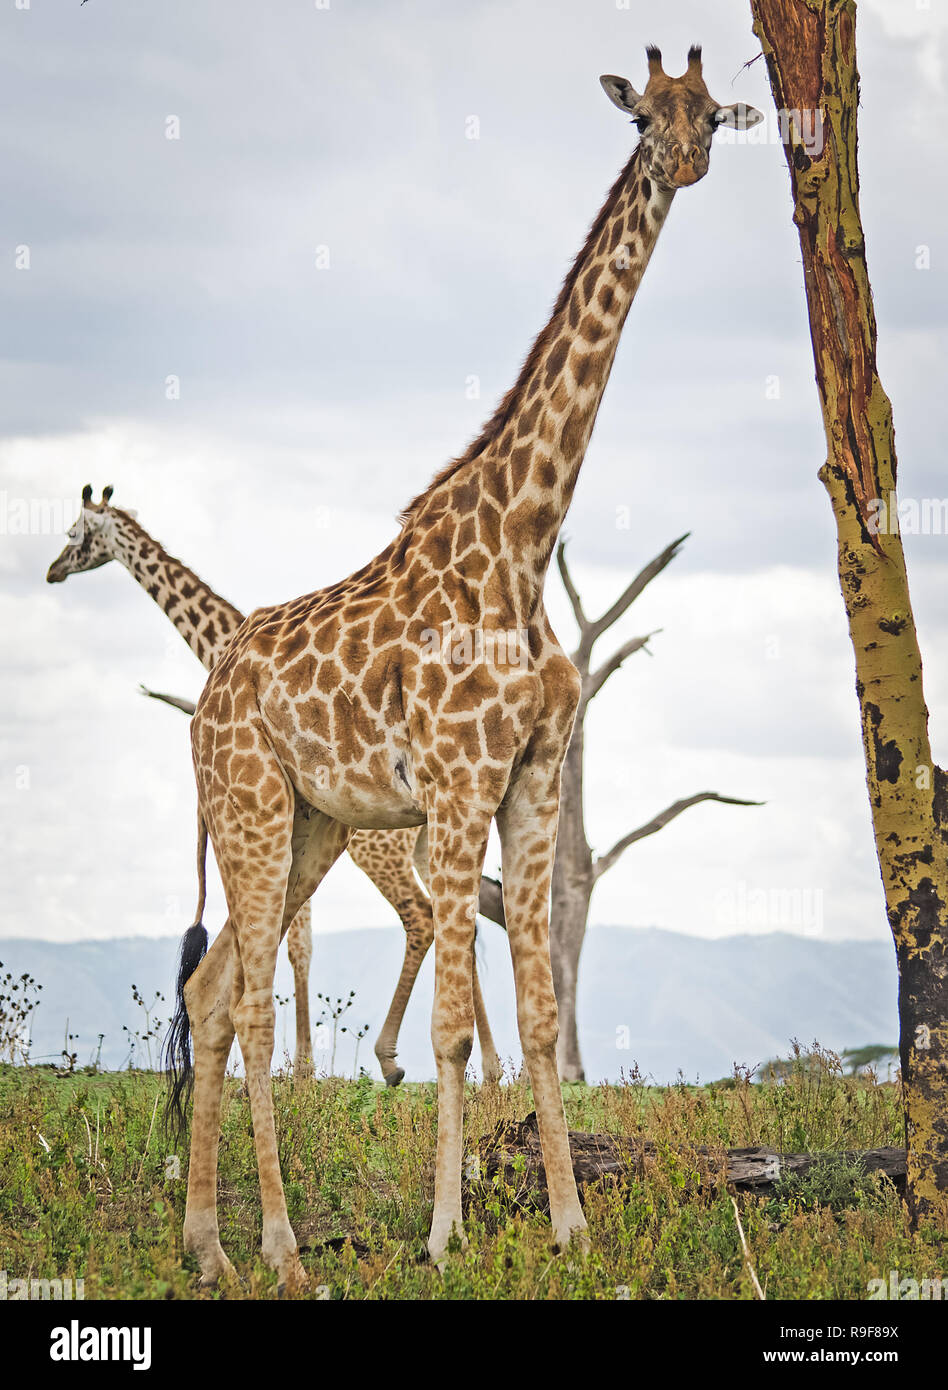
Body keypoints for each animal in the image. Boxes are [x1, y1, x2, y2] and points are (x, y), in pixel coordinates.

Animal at [45, 487, 503, 1085]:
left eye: (75, 533)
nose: (53, 570)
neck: (218, 641)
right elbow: (298, 941)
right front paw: (301, 1062)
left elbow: (294, 944)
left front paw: (302, 1066)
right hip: (426, 843)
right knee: (463, 926)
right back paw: (492, 1070)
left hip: (382, 852)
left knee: (424, 919)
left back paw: (395, 1060)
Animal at [167, 46, 761, 1286]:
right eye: (645, 115)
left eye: (711, 113)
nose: (684, 160)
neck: (524, 543)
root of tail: (205, 700)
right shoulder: (453, 786)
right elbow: (448, 1030)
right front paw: (444, 1235)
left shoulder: (529, 779)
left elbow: (536, 1015)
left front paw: (572, 1226)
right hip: (251, 805)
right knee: (247, 999)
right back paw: (282, 1249)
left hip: (312, 821)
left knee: (213, 987)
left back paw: (209, 1246)